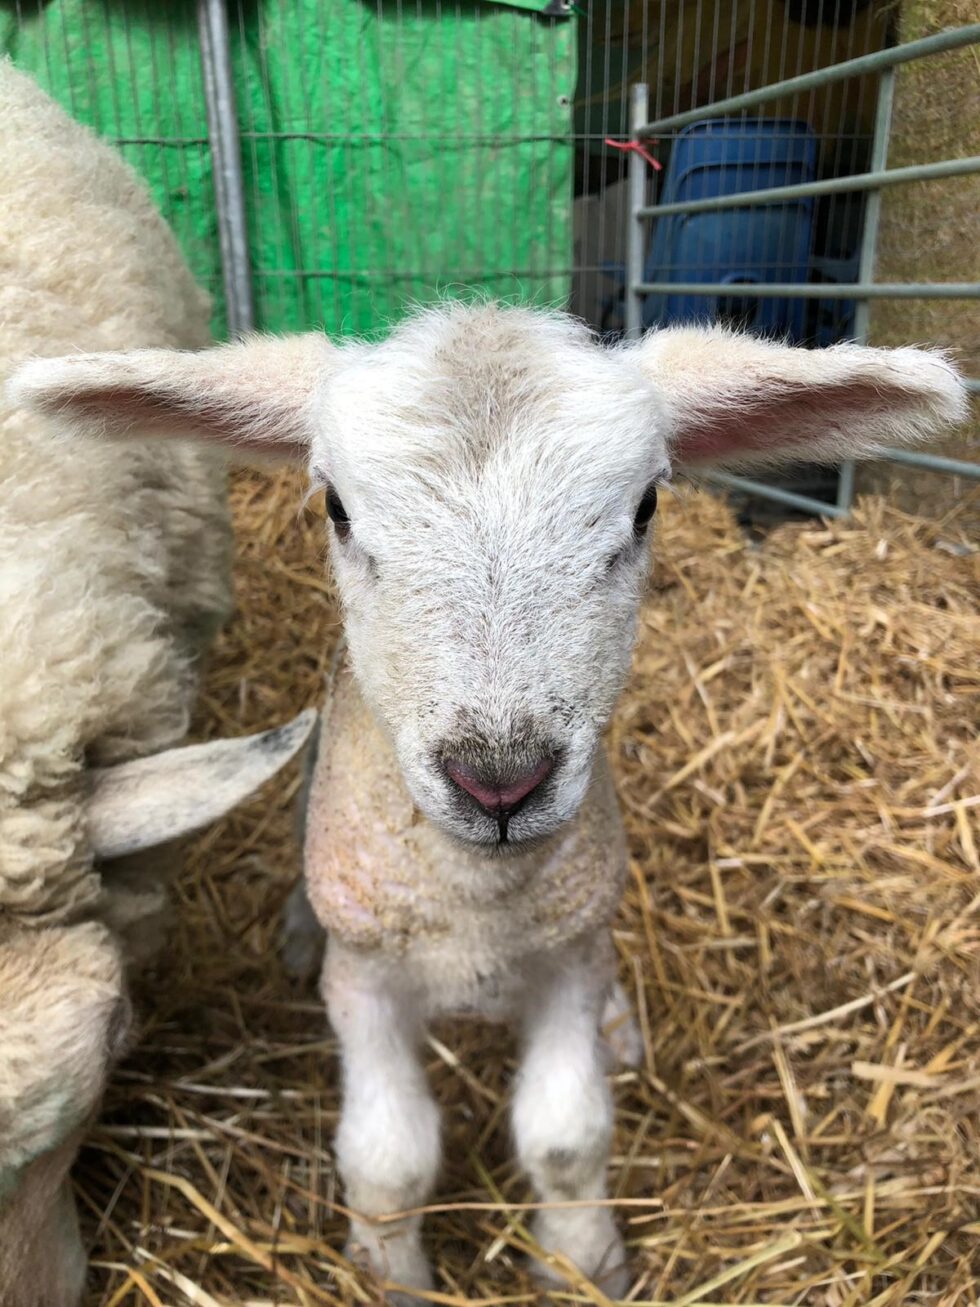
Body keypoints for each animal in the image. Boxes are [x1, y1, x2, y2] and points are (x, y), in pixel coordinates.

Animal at [12, 299, 966, 1302]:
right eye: (338, 510)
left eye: (646, 507)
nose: (500, 777)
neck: (478, 901)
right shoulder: (367, 983)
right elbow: (389, 1158)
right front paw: (390, 1274)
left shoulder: (568, 958)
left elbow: (565, 1140)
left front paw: (583, 1262)